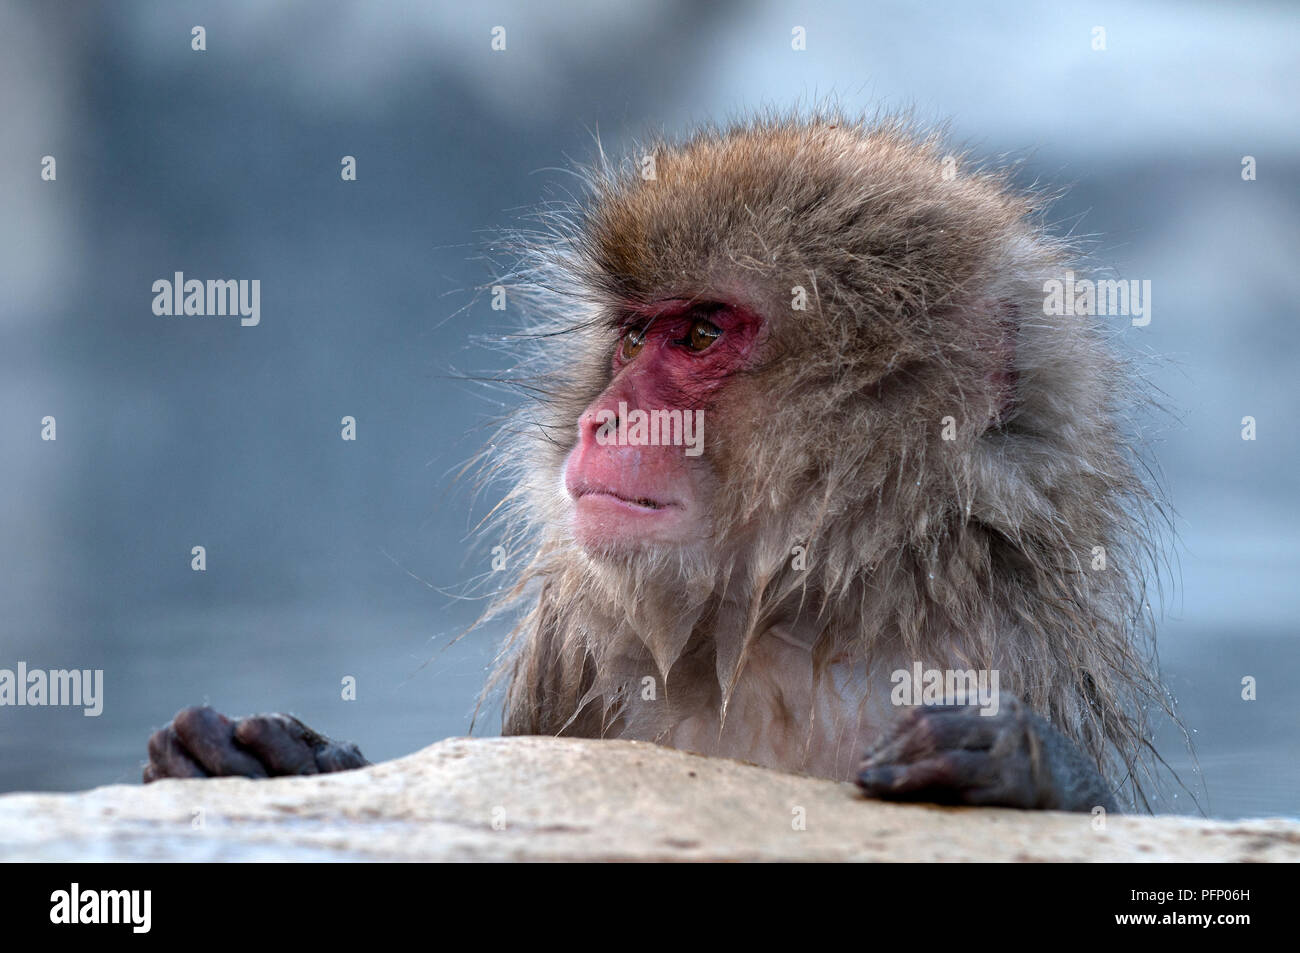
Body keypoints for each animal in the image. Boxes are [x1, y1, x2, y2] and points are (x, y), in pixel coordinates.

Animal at [144, 113, 1173, 813]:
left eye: (703, 333)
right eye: (634, 336)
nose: (603, 418)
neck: (783, 626)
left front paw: (1028, 767)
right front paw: (260, 758)